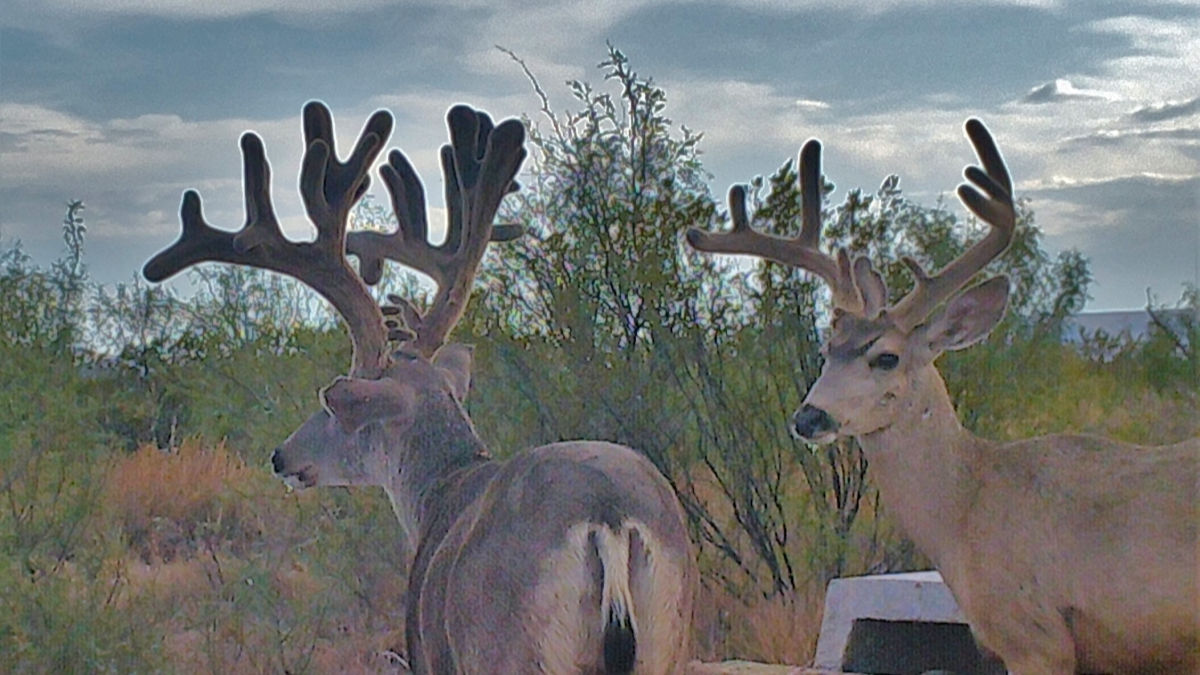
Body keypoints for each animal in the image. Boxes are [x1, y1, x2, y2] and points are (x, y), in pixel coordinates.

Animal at [142, 99, 696, 672]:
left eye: (334, 406)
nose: (281, 455)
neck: (440, 489)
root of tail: (608, 518)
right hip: (668, 636)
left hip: (509, 648)